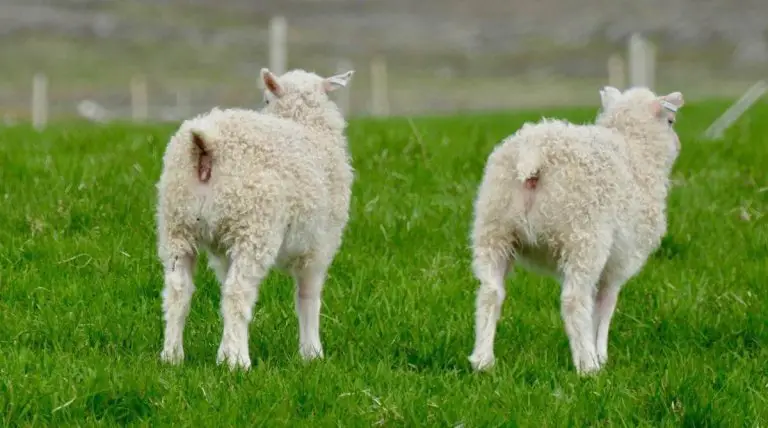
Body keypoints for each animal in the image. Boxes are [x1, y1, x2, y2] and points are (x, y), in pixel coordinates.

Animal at [156, 67, 356, 370]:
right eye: (266, 99)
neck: (307, 125)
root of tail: (206, 144)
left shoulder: (224, 250)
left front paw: (223, 351)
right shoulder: (320, 245)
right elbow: (308, 297)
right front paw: (312, 353)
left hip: (177, 225)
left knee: (179, 291)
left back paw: (172, 356)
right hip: (254, 226)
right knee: (238, 292)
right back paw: (239, 362)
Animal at [468, 86, 684, 375]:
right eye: (670, 121)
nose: (679, 144)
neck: (635, 149)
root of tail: (534, 152)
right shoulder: (619, 262)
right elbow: (605, 305)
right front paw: (600, 355)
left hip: (494, 229)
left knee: (490, 293)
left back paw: (483, 361)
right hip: (584, 237)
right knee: (573, 300)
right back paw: (587, 366)